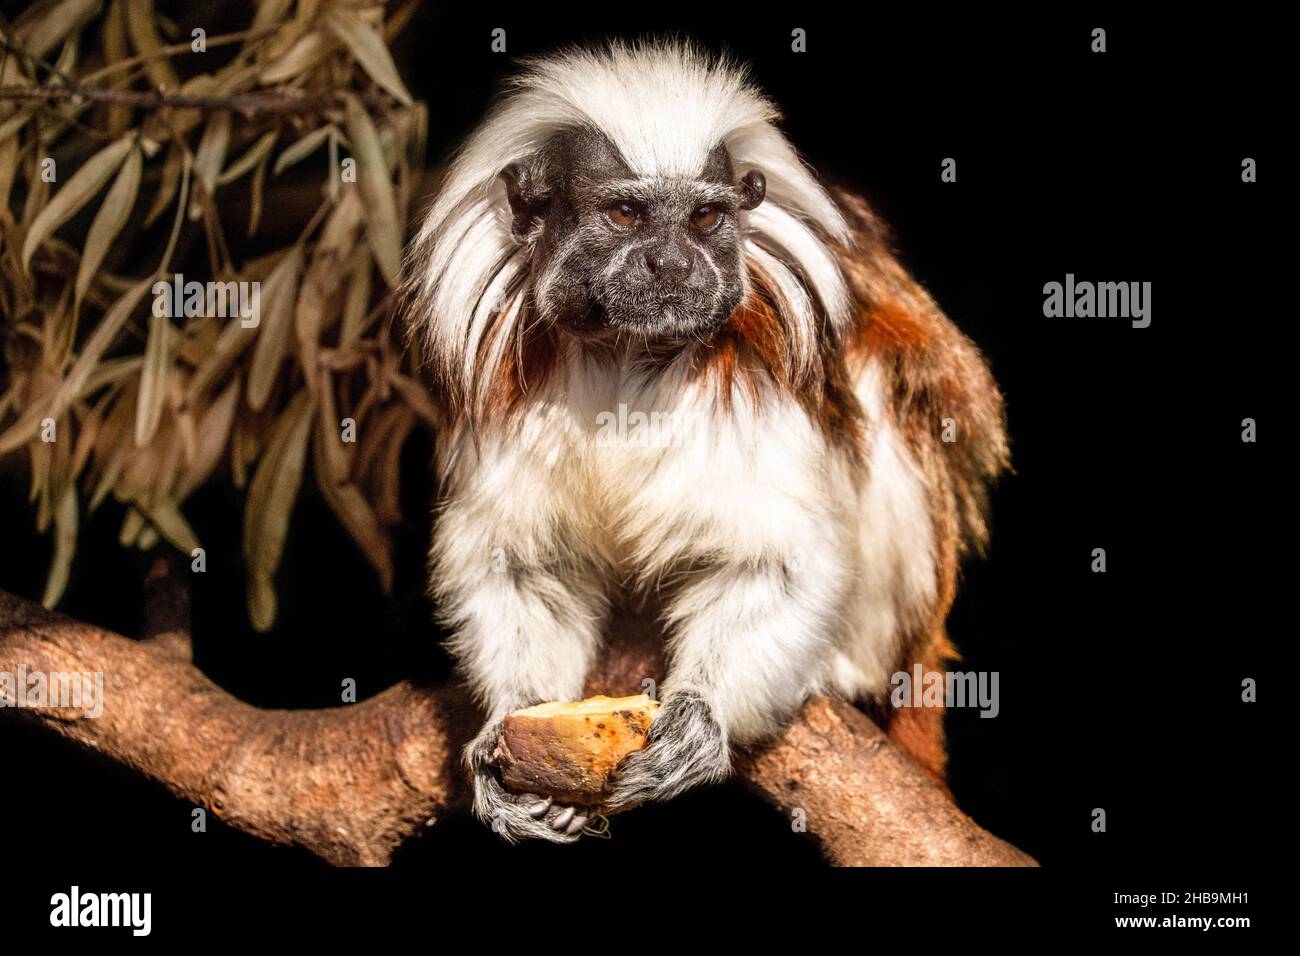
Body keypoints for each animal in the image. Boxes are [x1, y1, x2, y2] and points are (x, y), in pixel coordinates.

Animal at [405, 40, 1008, 843]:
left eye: (706, 218)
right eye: (625, 214)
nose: (672, 264)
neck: (625, 351)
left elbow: (779, 560)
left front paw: (703, 717)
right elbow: (522, 565)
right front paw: (506, 728)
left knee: (874, 375)